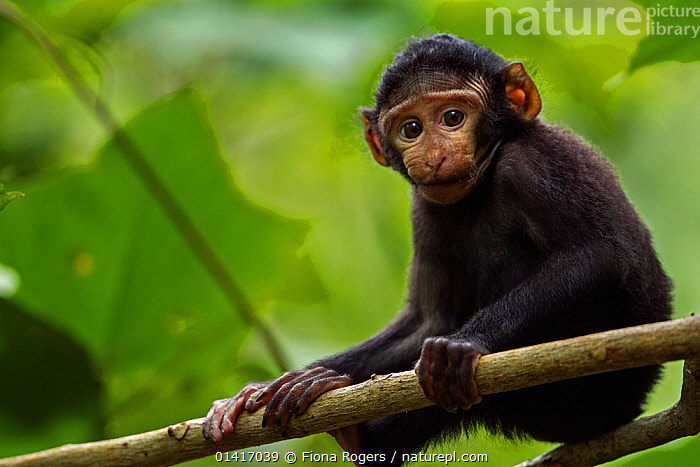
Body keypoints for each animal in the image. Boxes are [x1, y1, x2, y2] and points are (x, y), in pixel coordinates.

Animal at [203, 34, 672, 462]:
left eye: (452, 117)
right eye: (411, 129)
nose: (433, 153)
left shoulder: (534, 163)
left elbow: (596, 257)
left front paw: (463, 346)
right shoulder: (424, 210)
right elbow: (430, 319)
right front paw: (289, 381)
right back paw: (349, 425)